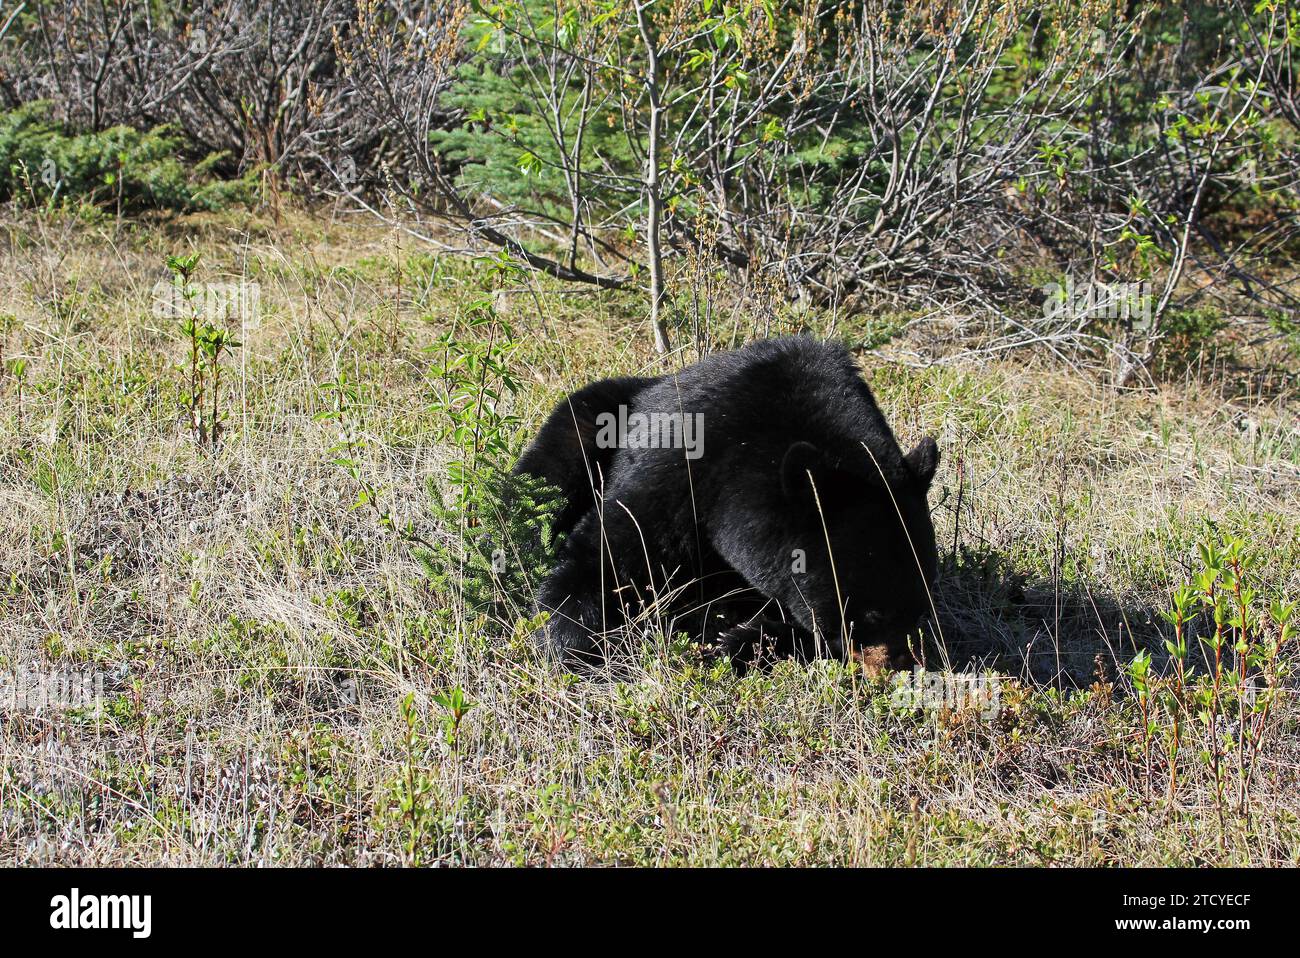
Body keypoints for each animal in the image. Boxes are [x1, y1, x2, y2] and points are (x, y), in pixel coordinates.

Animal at [512, 336, 940, 673]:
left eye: (920, 608)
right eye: (870, 613)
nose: (899, 665)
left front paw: (739, 640)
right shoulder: (680, 473)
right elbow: (606, 555)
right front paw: (574, 641)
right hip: (598, 417)